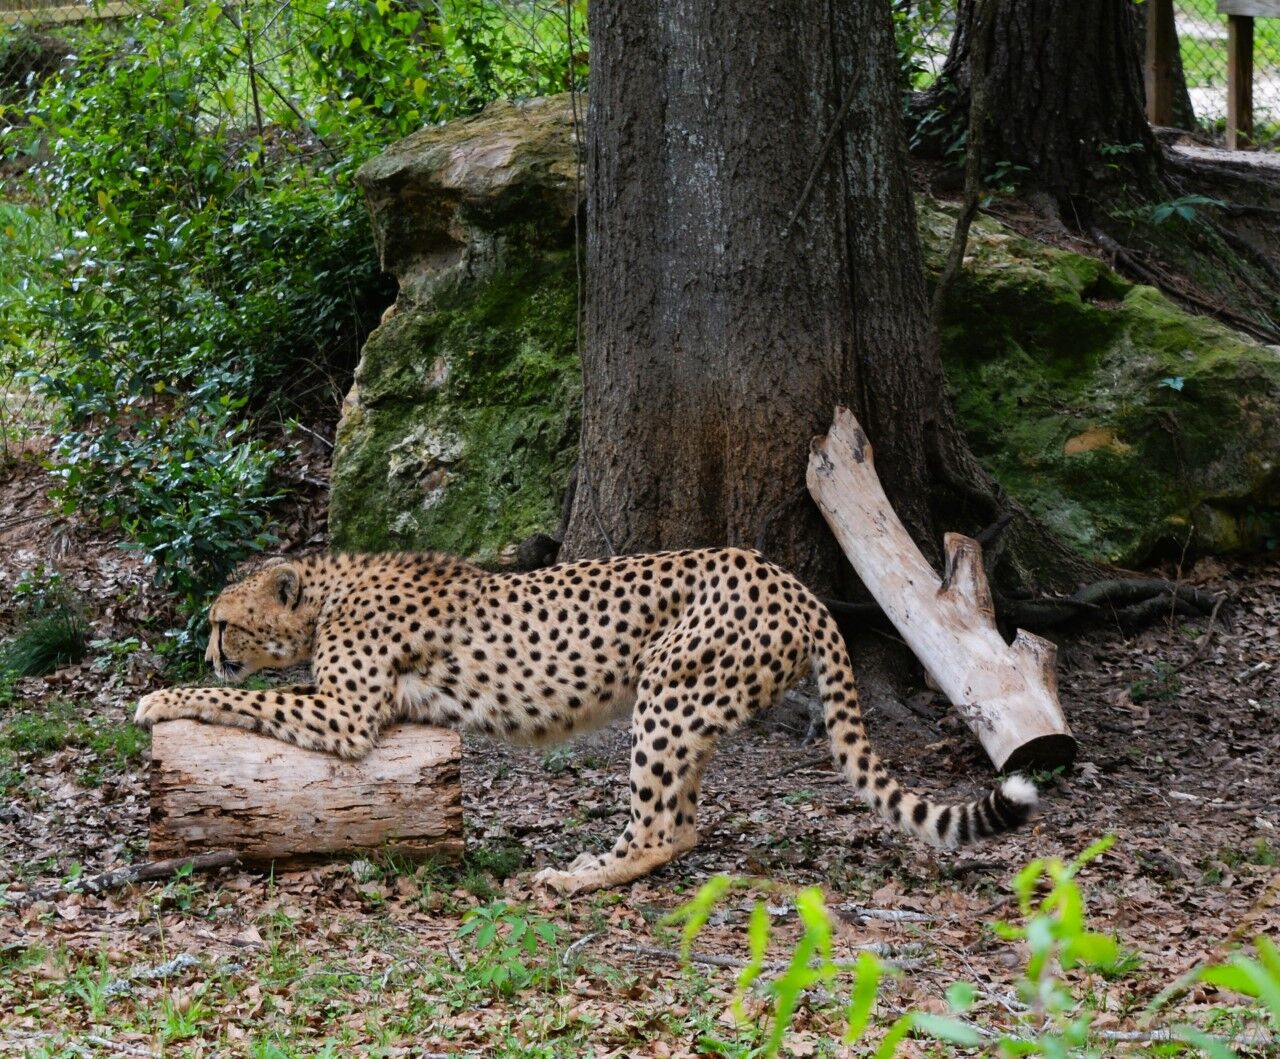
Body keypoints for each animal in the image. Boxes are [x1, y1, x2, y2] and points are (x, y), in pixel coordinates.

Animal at [134, 547, 1038, 894]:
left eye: (223, 622)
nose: (212, 649)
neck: (327, 592)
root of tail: (787, 578)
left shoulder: (347, 713)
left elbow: (251, 699)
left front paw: (161, 696)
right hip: (689, 704)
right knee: (683, 821)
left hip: (666, 693)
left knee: (663, 825)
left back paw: (576, 877)